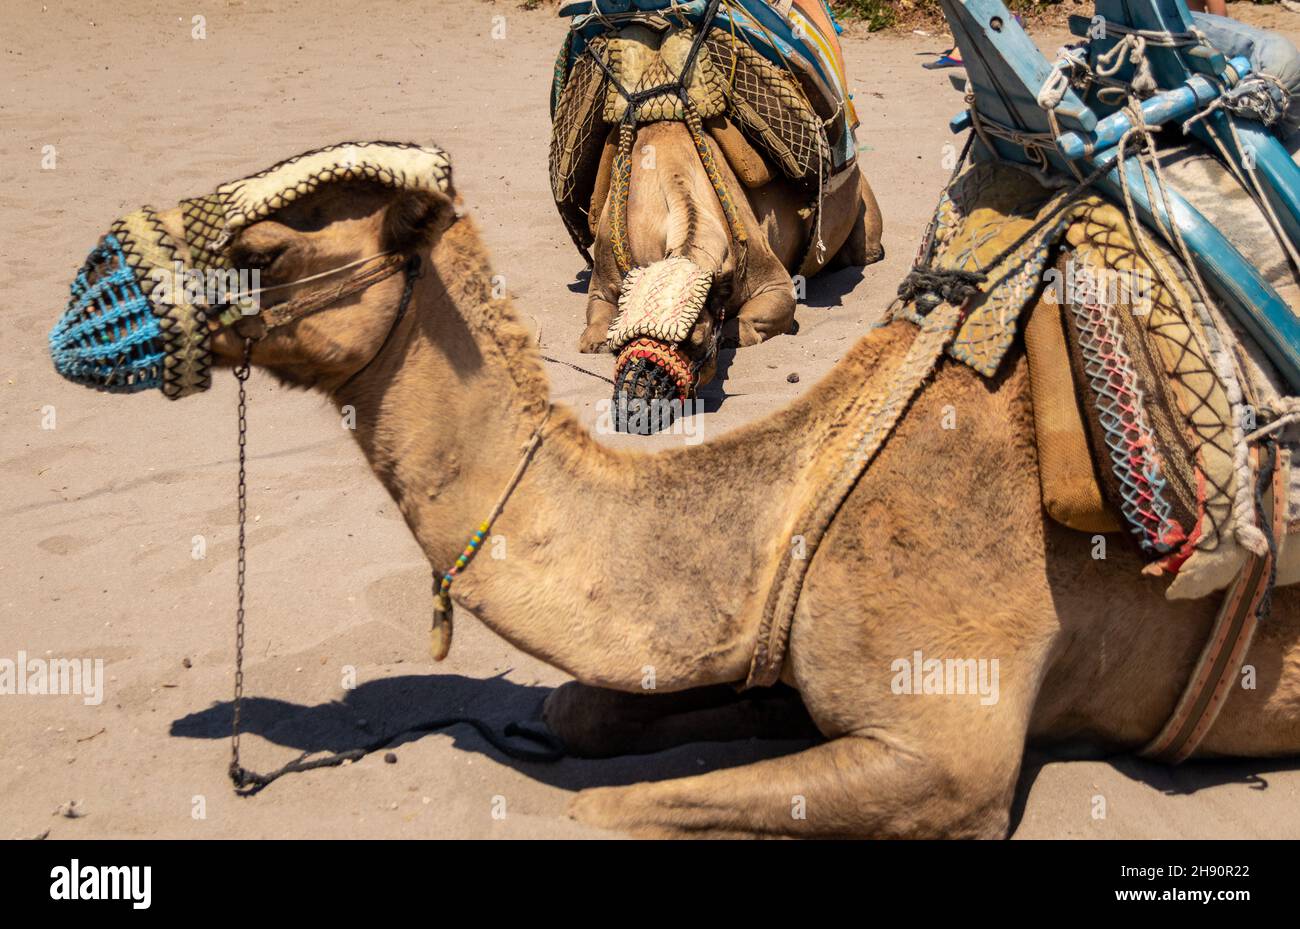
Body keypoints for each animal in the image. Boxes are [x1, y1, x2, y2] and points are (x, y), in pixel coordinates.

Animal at [79, 171, 1300, 839]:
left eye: (262, 246)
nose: (92, 287)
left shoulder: (951, 754)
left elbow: (598, 809)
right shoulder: (768, 639)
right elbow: (582, 713)